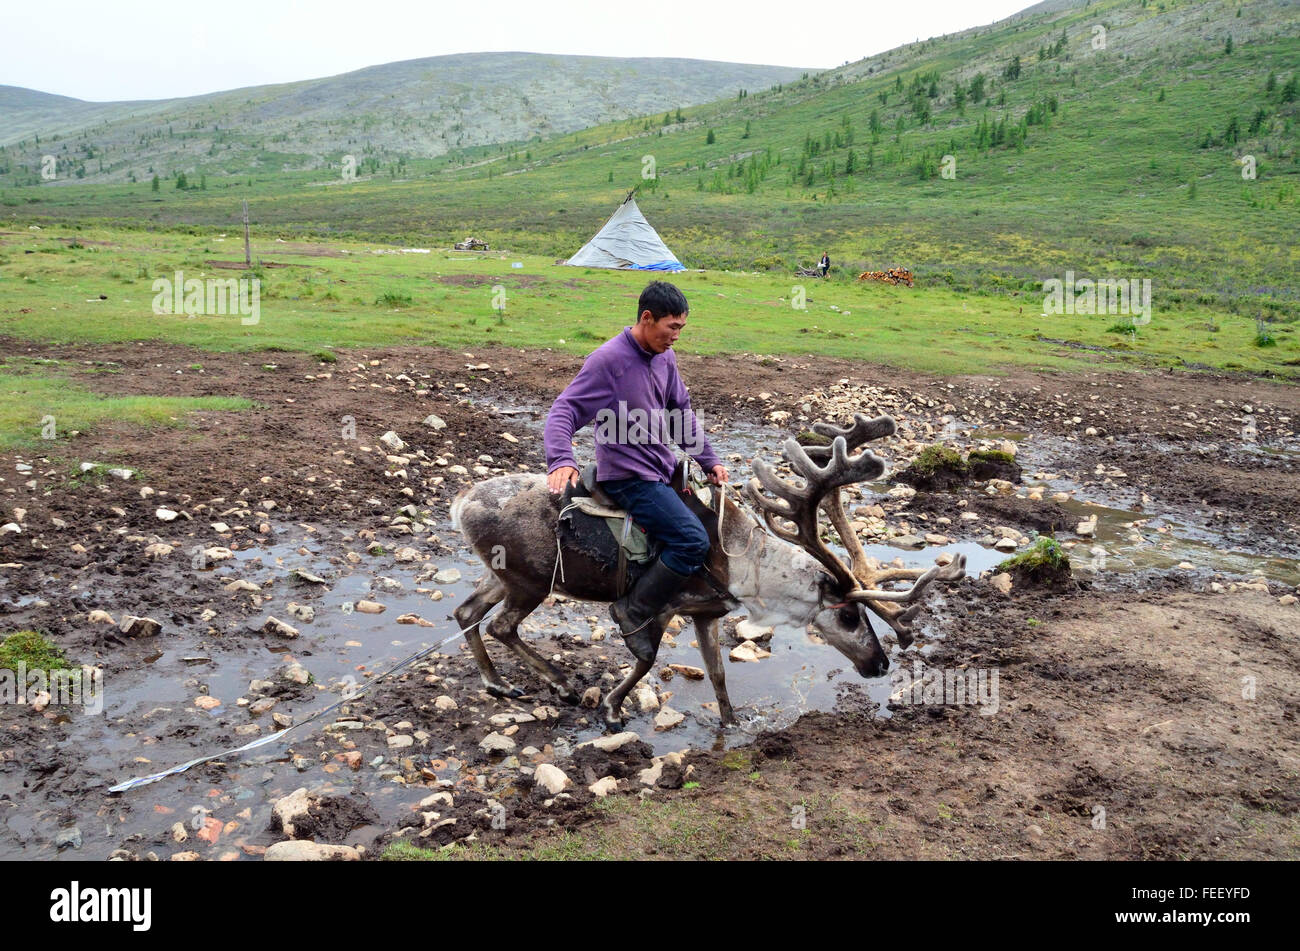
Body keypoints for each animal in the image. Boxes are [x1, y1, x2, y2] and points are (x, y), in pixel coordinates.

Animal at [450, 412, 966, 730]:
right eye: (848, 615)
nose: (880, 664)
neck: (746, 568)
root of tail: (461, 503)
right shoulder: (660, 607)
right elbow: (645, 660)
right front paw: (613, 708)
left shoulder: (706, 613)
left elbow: (717, 675)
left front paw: (732, 724)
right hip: (531, 581)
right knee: (500, 625)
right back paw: (559, 683)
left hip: (499, 576)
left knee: (466, 613)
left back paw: (498, 683)